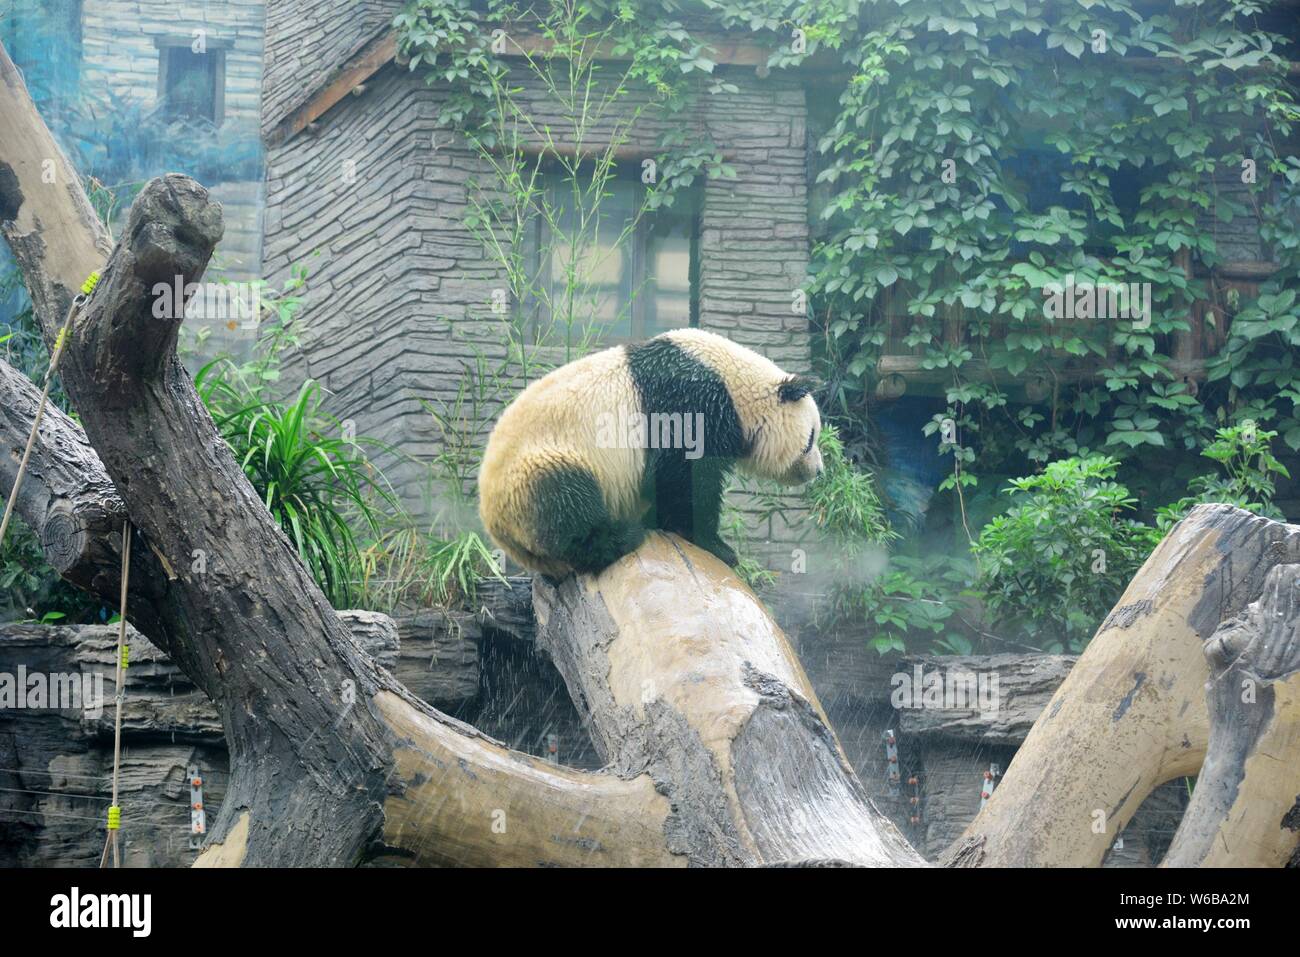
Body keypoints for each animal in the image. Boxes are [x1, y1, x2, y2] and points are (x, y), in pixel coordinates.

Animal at [478, 328, 824, 579]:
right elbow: (685, 479)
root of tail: (495, 523)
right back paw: (624, 536)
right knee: (567, 506)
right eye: (811, 439)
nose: (818, 471)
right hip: (541, 463)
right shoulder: (689, 404)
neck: (734, 384)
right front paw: (719, 547)